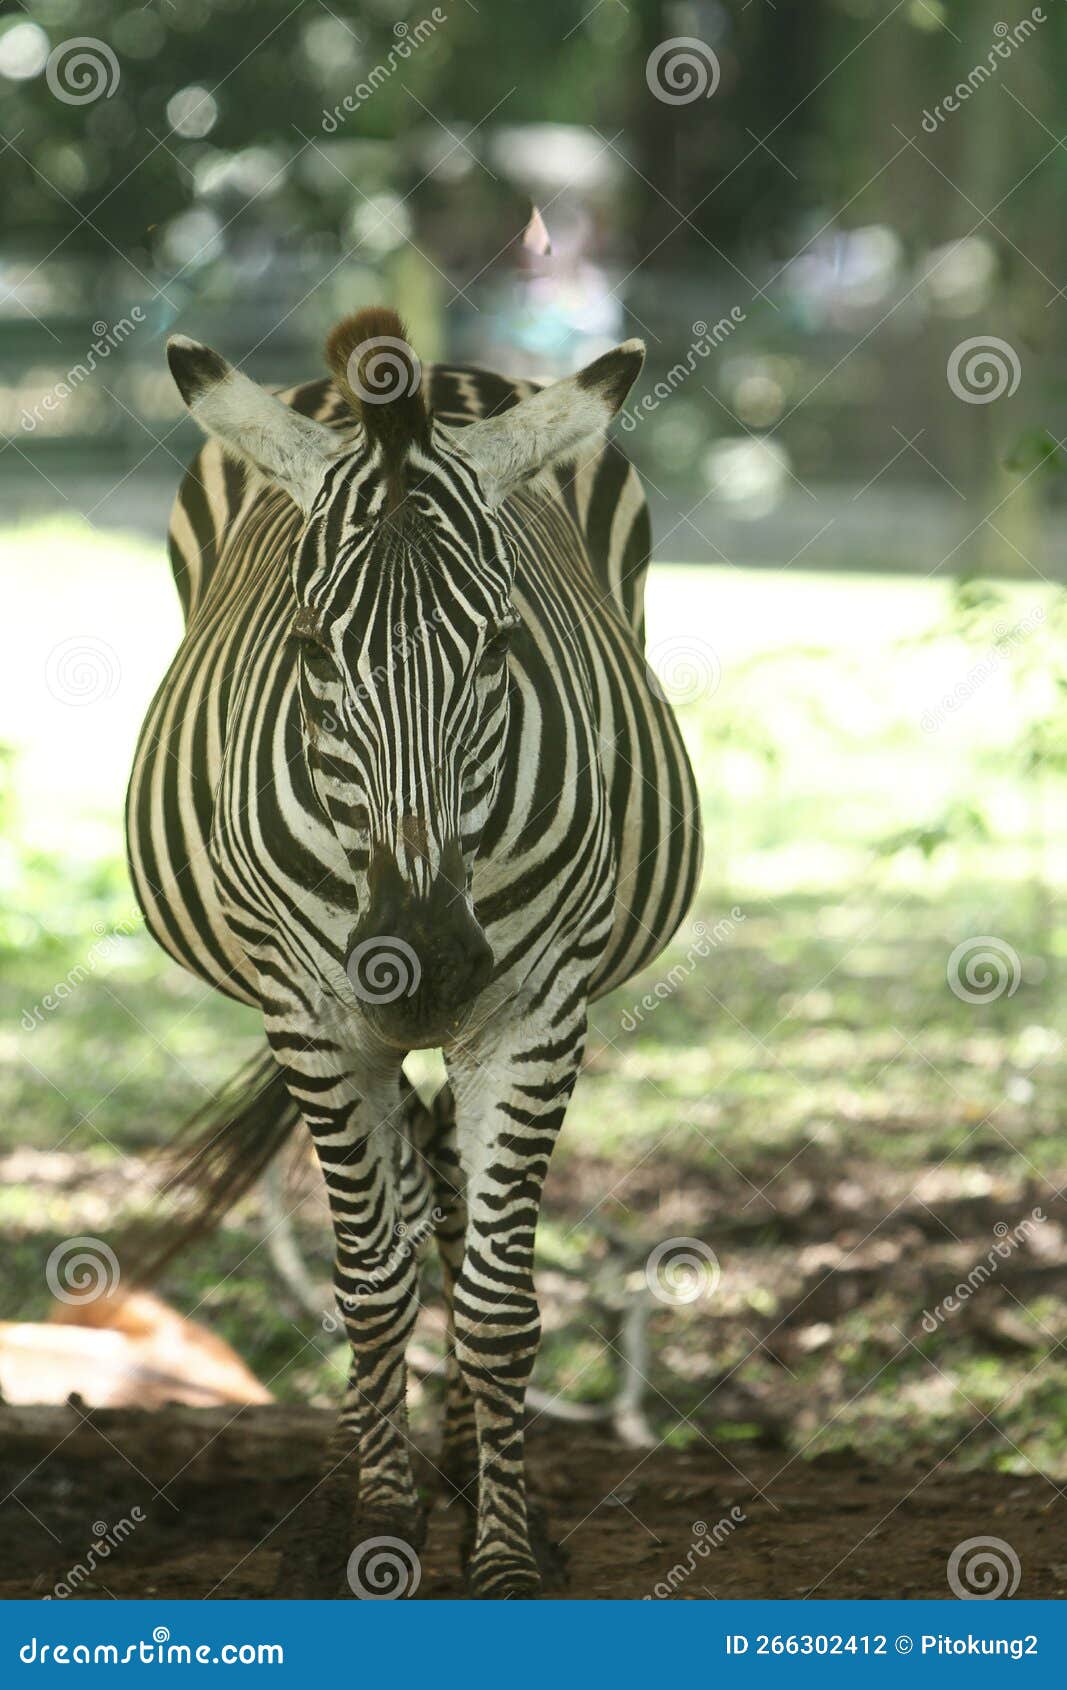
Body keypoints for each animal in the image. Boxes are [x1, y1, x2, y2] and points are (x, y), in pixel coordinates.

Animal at [126, 306, 702, 1598]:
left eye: (496, 647)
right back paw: (365, 1483)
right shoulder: (318, 1015)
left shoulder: (534, 1013)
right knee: (394, 1207)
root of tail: (421, 372)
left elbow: (494, 1306)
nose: (424, 958)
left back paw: (475, 1482)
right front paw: (379, 1527)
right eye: (311, 652)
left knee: (439, 1186)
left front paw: (502, 1552)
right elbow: (371, 1287)